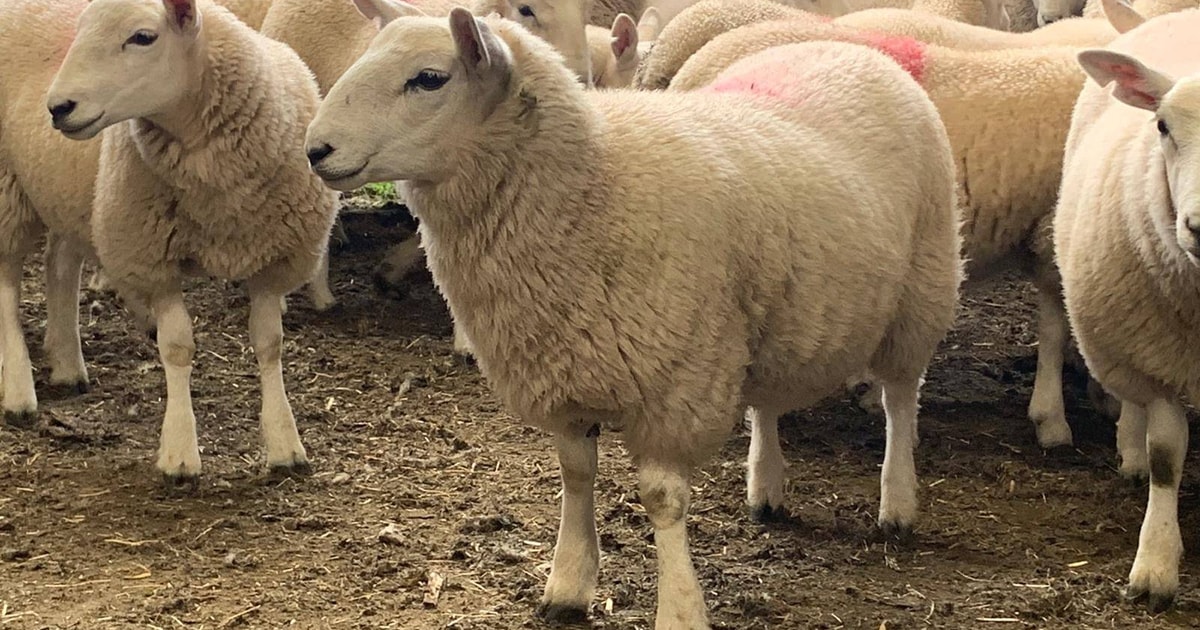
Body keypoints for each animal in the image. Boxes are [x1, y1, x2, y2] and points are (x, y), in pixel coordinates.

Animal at [45, 0, 338, 482]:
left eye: (143, 37)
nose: (57, 107)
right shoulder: (153, 258)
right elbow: (178, 347)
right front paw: (179, 451)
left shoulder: (273, 260)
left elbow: (269, 343)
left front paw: (284, 443)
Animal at [306, 0, 961, 623]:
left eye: (429, 78)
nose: (315, 150)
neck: (597, 186)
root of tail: (849, 49)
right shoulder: (565, 371)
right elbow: (575, 475)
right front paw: (568, 584)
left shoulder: (677, 379)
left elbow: (661, 500)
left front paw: (680, 608)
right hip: (770, 312)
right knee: (768, 401)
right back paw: (767, 486)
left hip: (922, 288)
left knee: (901, 399)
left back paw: (897, 502)